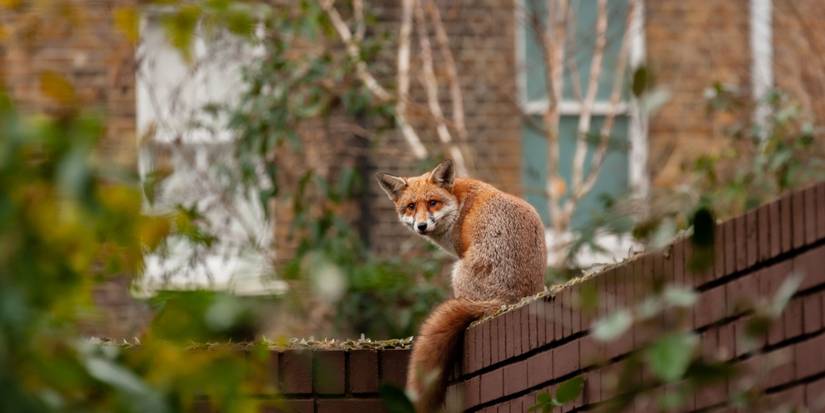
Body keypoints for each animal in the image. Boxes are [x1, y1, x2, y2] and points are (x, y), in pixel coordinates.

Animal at [376, 159, 547, 412]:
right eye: (410, 206)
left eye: (432, 202)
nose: (421, 226)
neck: (458, 204)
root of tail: (507, 300)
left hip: (456, 273)